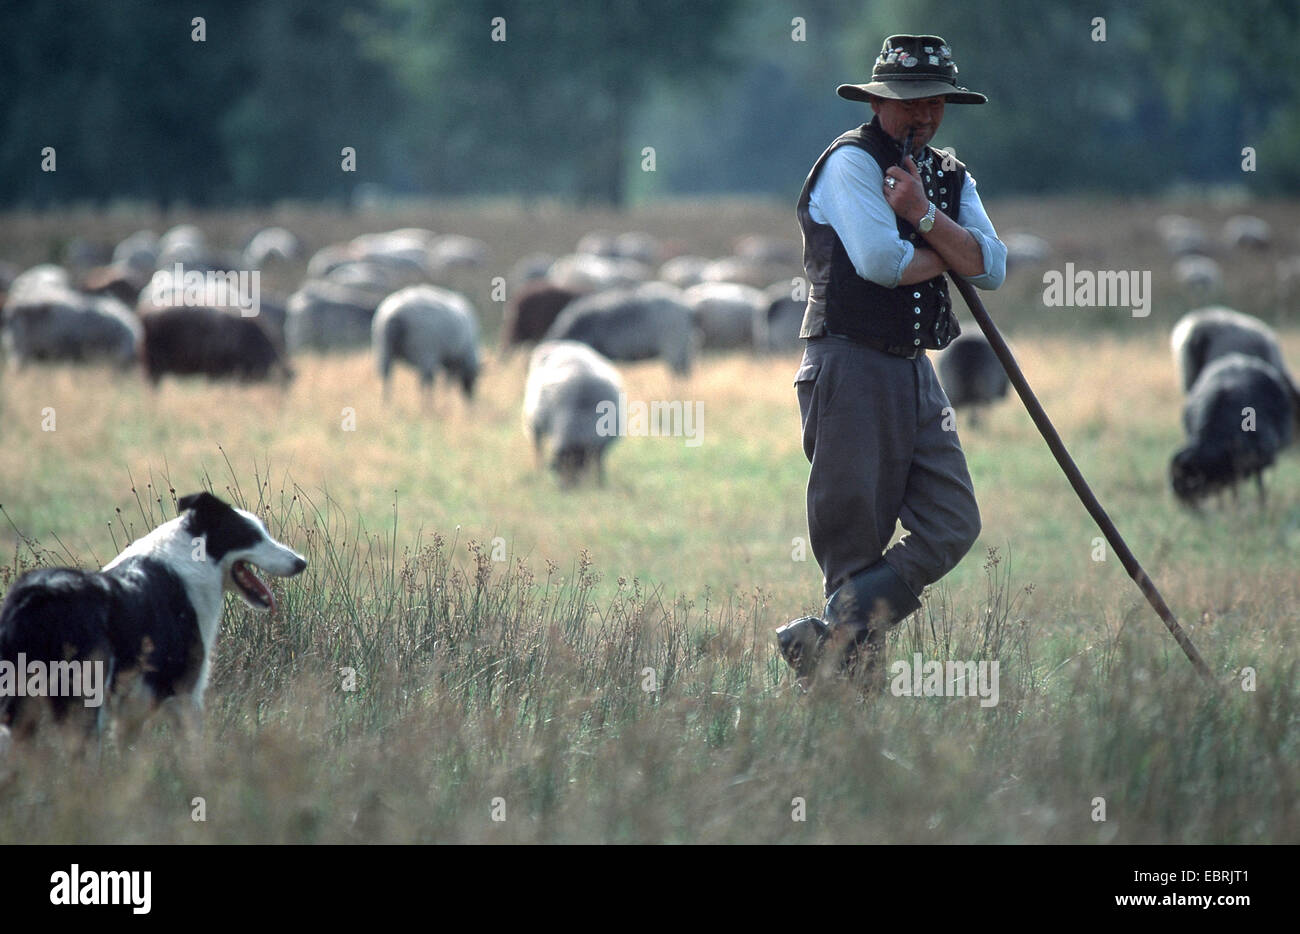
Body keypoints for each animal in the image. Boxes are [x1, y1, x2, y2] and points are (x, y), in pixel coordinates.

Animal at [522, 340, 624, 486]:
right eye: (558, 468)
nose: (564, 488)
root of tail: (563, 344)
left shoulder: (601, 445)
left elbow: (599, 463)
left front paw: (600, 483)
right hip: (533, 424)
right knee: (537, 448)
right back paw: (538, 472)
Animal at [1169, 354, 1295, 505]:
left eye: (1186, 479)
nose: (1182, 503)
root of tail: (1239, 359)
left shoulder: (1256, 459)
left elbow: (1258, 485)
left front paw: (1259, 506)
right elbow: (1227, 490)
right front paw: (1225, 507)